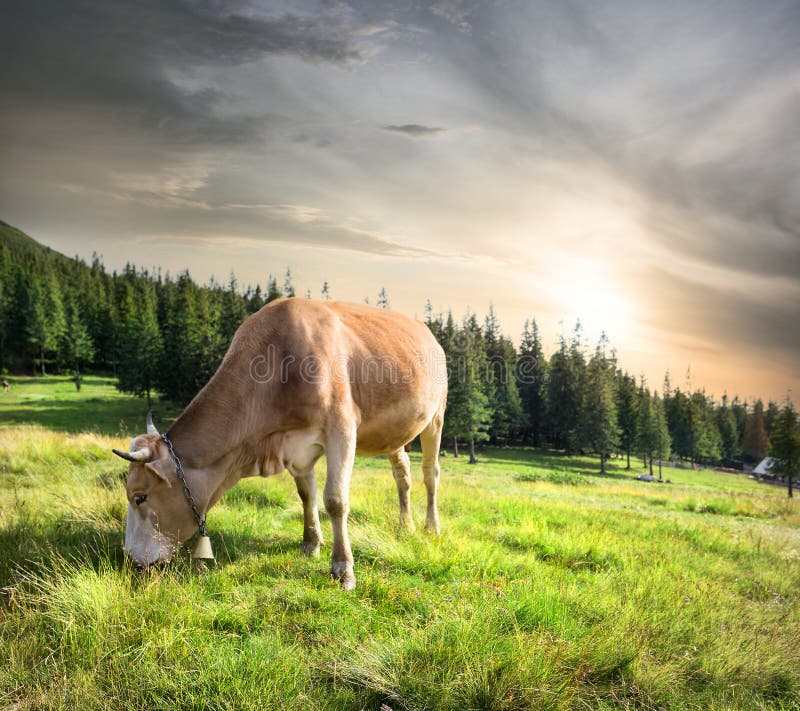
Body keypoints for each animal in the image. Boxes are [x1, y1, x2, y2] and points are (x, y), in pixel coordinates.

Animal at [112, 298, 447, 590]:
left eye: (139, 497)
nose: (129, 561)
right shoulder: (295, 447)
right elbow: (306, 494)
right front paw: (311, 543)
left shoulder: (342, 427)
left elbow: (335, 500)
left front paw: (343, 568)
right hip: (395, 434)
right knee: (402, 475)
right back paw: (405, 525)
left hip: (436, 416)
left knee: (430, 475)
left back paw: (431, 527)